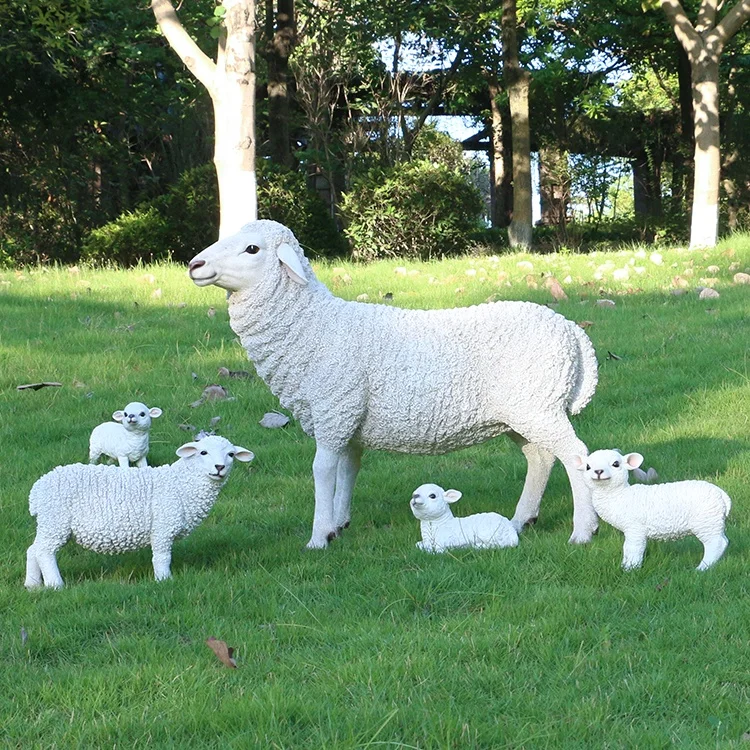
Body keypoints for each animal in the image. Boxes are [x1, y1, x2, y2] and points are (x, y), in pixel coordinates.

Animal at [25, 435, 254, 589]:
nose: (219, 467)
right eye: (203, 452)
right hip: (56, 519)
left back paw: (32, 585)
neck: (181, 484)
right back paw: (55, 584)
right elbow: (162, 558)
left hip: (49, 522)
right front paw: (164, 580)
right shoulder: (163, 527)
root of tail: (37, 489)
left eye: (231, 454)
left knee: (32, 549)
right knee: (44, 552)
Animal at [188, 219, 599, 549]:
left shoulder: (334, 411)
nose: (194, 265)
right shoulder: (348, 421)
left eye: (252, 248)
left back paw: (583, 531)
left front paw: (319, 537)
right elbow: (347, 469)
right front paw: (339, 523)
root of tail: (573, 333)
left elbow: (322, 470)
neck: (313, 326)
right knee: (541, 458)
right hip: (523, 412)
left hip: (538, 406)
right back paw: (521, 520)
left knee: (574, 455)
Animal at [574, 449, 731, 571]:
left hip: (706, 521)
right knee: (723, 540)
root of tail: (723, 496)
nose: (598, 471)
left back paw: (702, 568)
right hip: (713, 522)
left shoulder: (635, 528)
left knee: (716, 543)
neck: (619, 496)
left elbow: (632, 548)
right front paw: (626, 566)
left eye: (616, 464)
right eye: (587, 466)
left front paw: (630, 568)